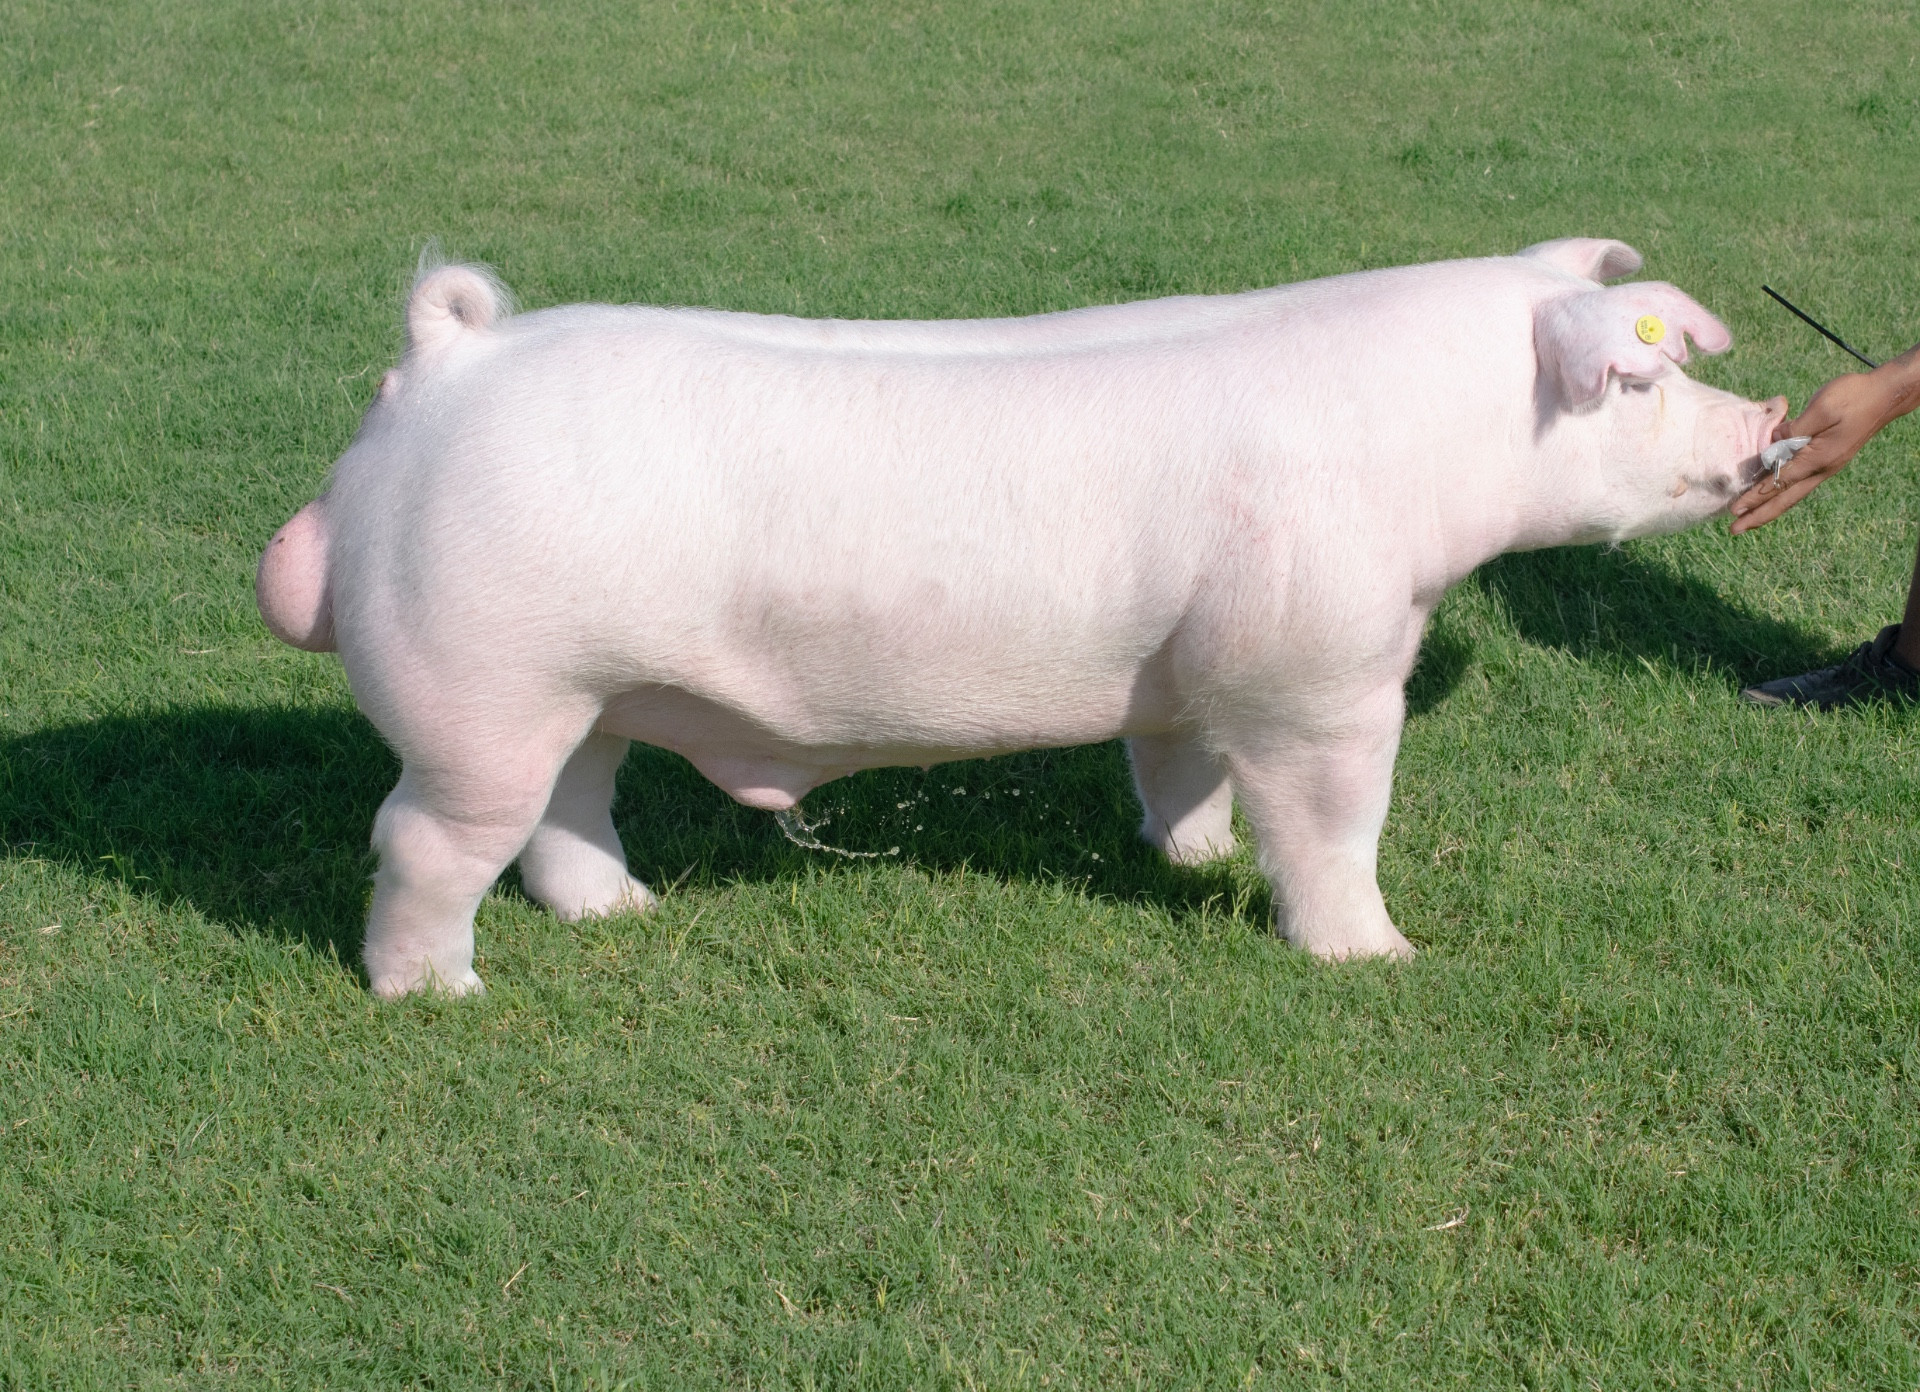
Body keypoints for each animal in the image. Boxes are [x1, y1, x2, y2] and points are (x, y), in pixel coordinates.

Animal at [257, 238, 1786, 997]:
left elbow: (1180, 771)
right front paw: (1380, 960)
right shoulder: (1318, 667)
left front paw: (1187, 862)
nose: (1767, 423)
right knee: (424, 840)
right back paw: (436, 995)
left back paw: (622, 916)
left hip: (578, 692)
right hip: (480, 686)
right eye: (1641, 382)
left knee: (571, 811)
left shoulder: (1190, 669)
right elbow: (1333, 819)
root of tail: (441, 368)